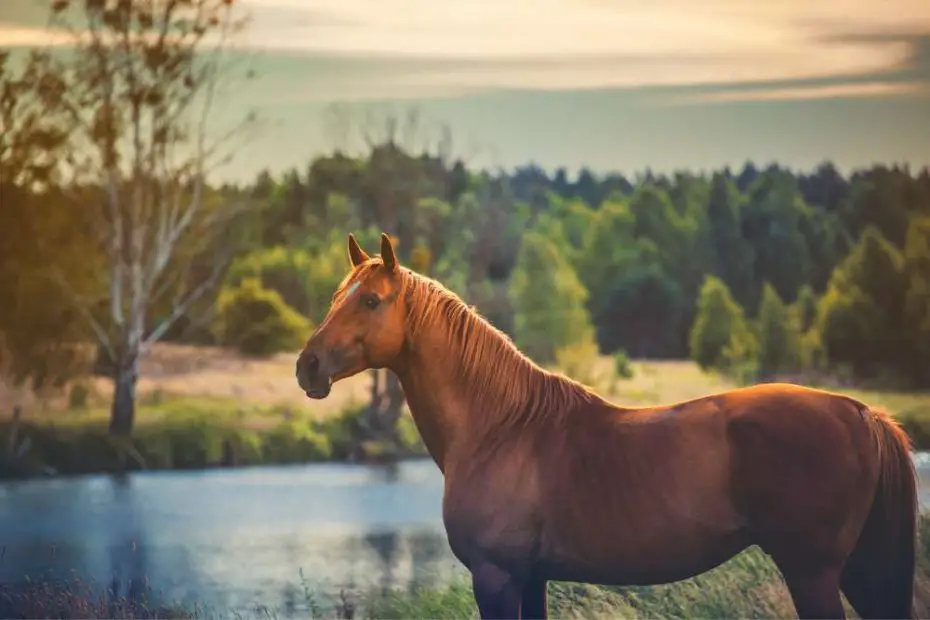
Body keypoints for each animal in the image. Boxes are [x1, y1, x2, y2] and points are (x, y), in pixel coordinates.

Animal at [296, 232, 919, 620]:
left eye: (371, 300)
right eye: (336, 296)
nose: (308, 367)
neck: (499, 429)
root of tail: (859, 412)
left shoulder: (496, 577)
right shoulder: (532, 579)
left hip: (812, 572)